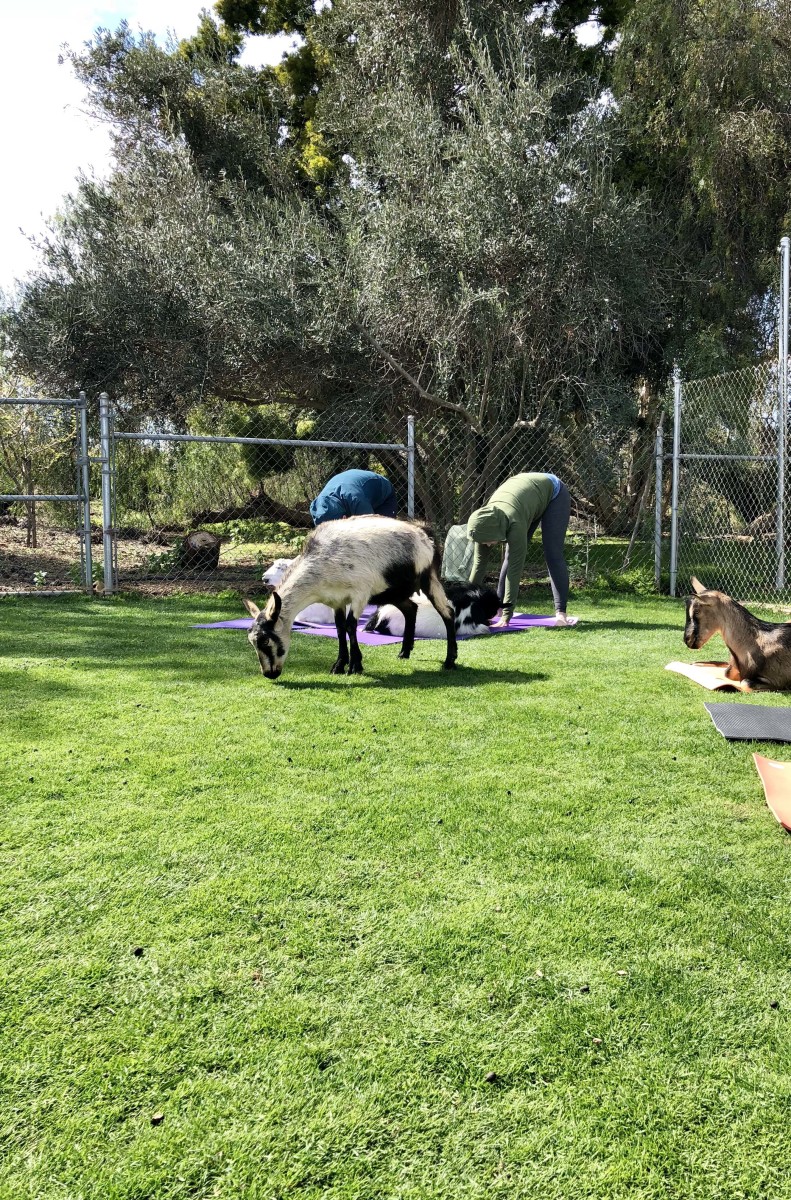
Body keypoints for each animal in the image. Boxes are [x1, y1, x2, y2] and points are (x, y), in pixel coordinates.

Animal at [243, 516, 457, 679]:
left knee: (448, 612)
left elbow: (350, 626)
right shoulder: (336, 600)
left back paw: (449, 660)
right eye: (252, 642)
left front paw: (355, 666)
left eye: (265, 641)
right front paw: (339, 665)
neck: (320, 563)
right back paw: (404, 652)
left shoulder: (360, 594)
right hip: (392, 591)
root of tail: (423, 531)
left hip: (429, 579)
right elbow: (339, 629)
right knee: (411, 609)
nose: (269, 674)